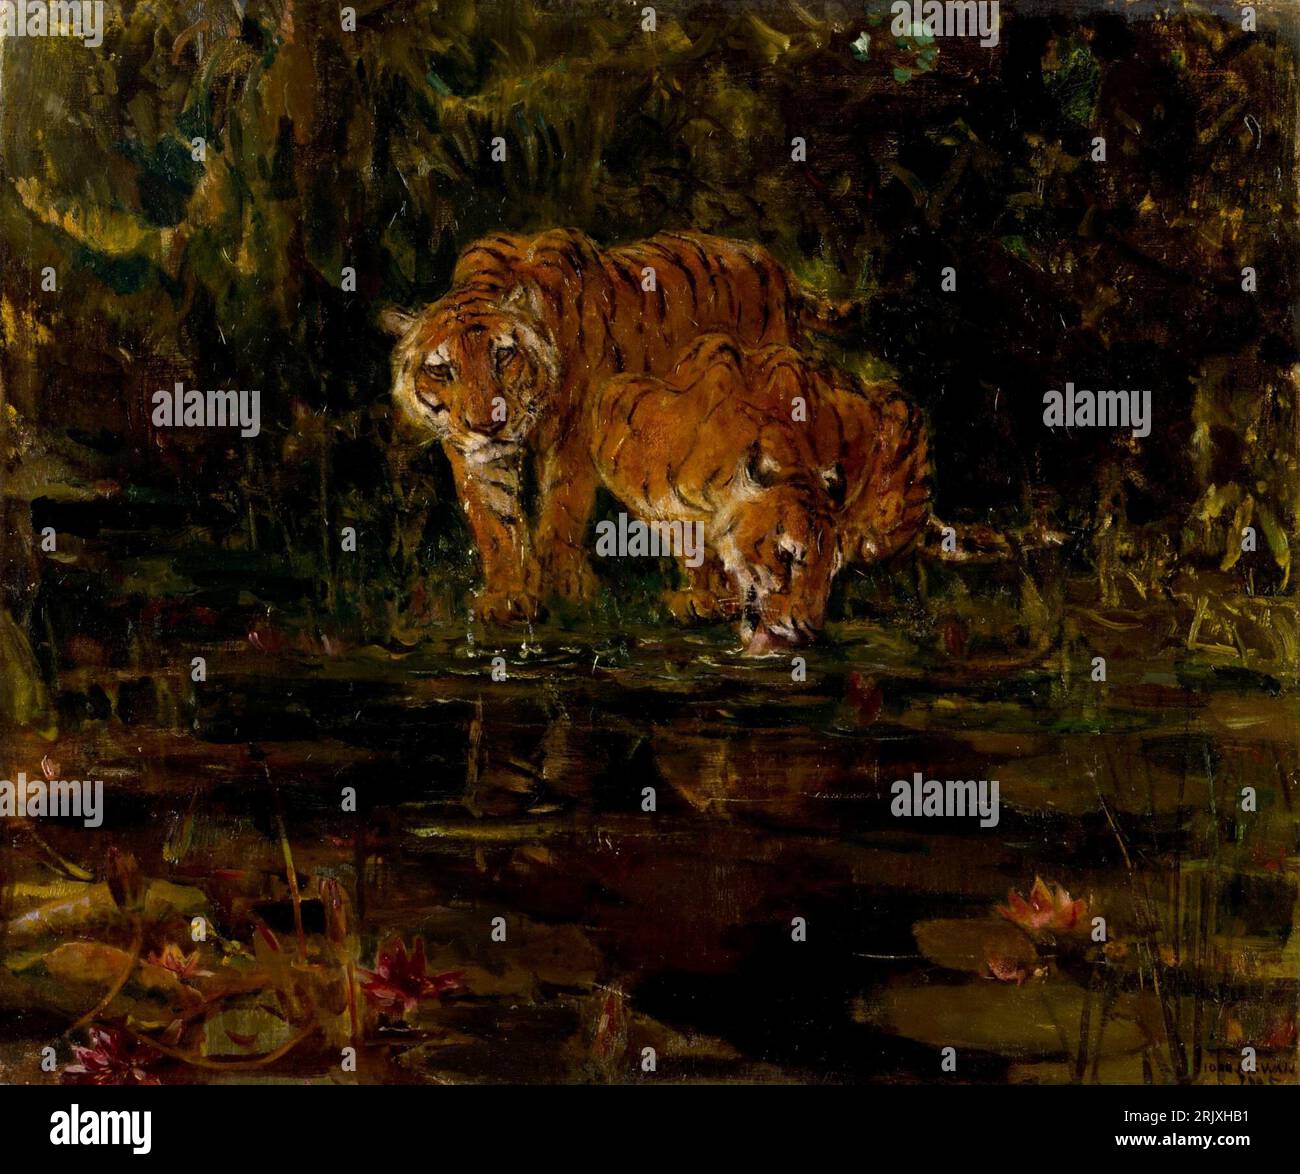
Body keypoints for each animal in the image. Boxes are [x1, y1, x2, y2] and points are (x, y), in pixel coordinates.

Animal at [381, 228, 854, 623]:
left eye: (503, 355)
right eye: (441, 370)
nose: (487, 423)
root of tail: (773, 265)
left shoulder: (575, 435)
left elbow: (561, 510)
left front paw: (563, 587)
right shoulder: (473, 455)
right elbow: (495, 523)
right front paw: (507, 596)